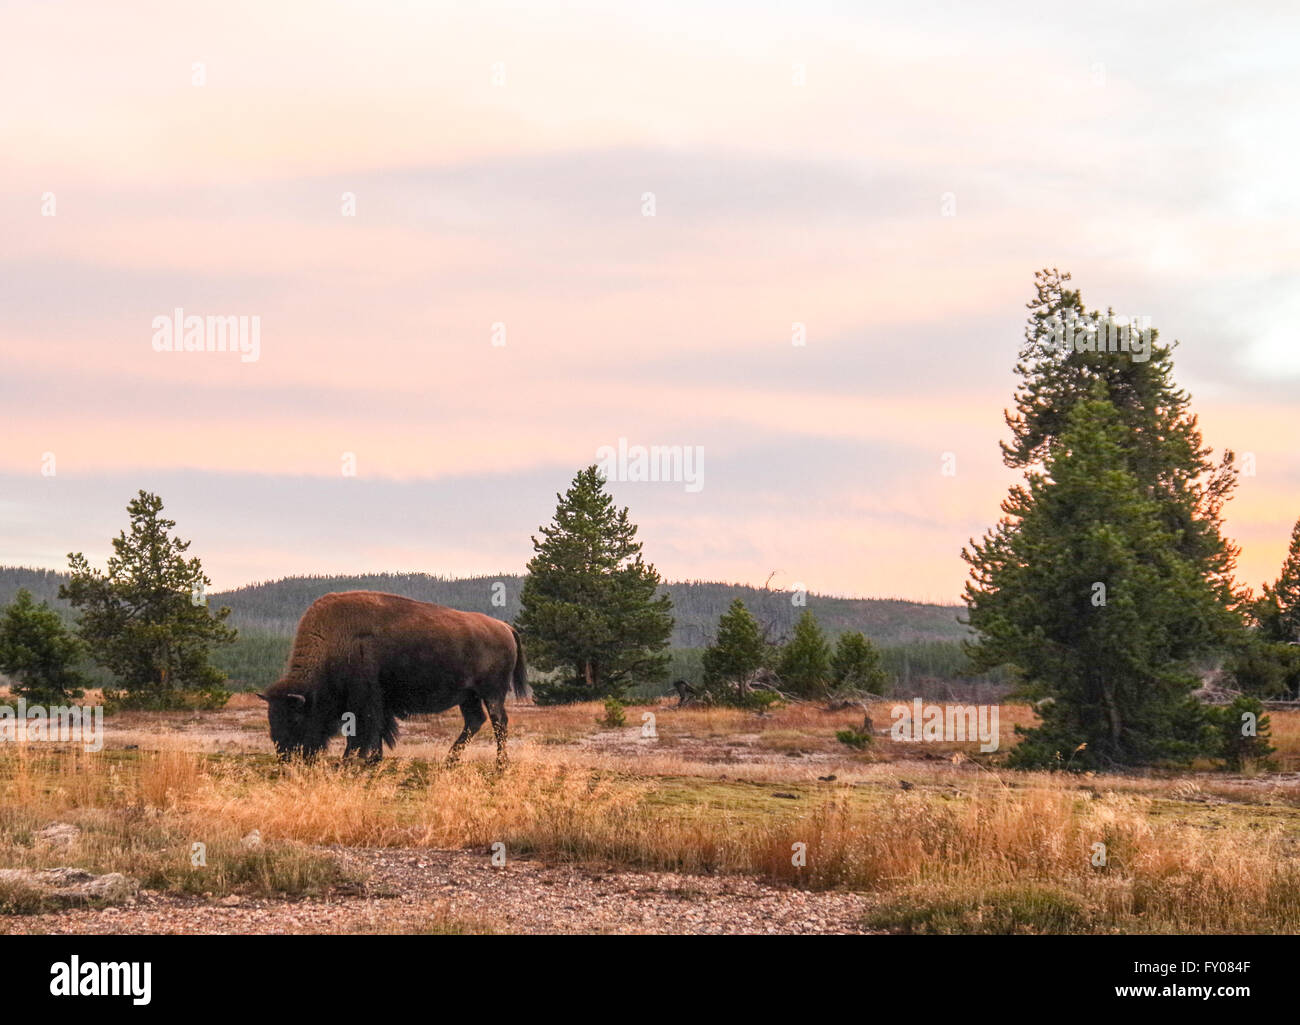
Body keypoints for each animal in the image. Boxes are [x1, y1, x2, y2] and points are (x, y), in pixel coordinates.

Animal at [258, 591, 527, 766]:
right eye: (272, 718)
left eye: (295, 717)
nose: (286, 757)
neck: (333, 644)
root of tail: (505, 627)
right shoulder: (378, 702)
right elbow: (377, 730)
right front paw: (372, 759)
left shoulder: (364, 701)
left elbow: (362, 731)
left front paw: (351, 760)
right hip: (468, 696)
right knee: (475, 721)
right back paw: (450, 759)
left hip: (492, 693)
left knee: (499, 722)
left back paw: (500, 764)